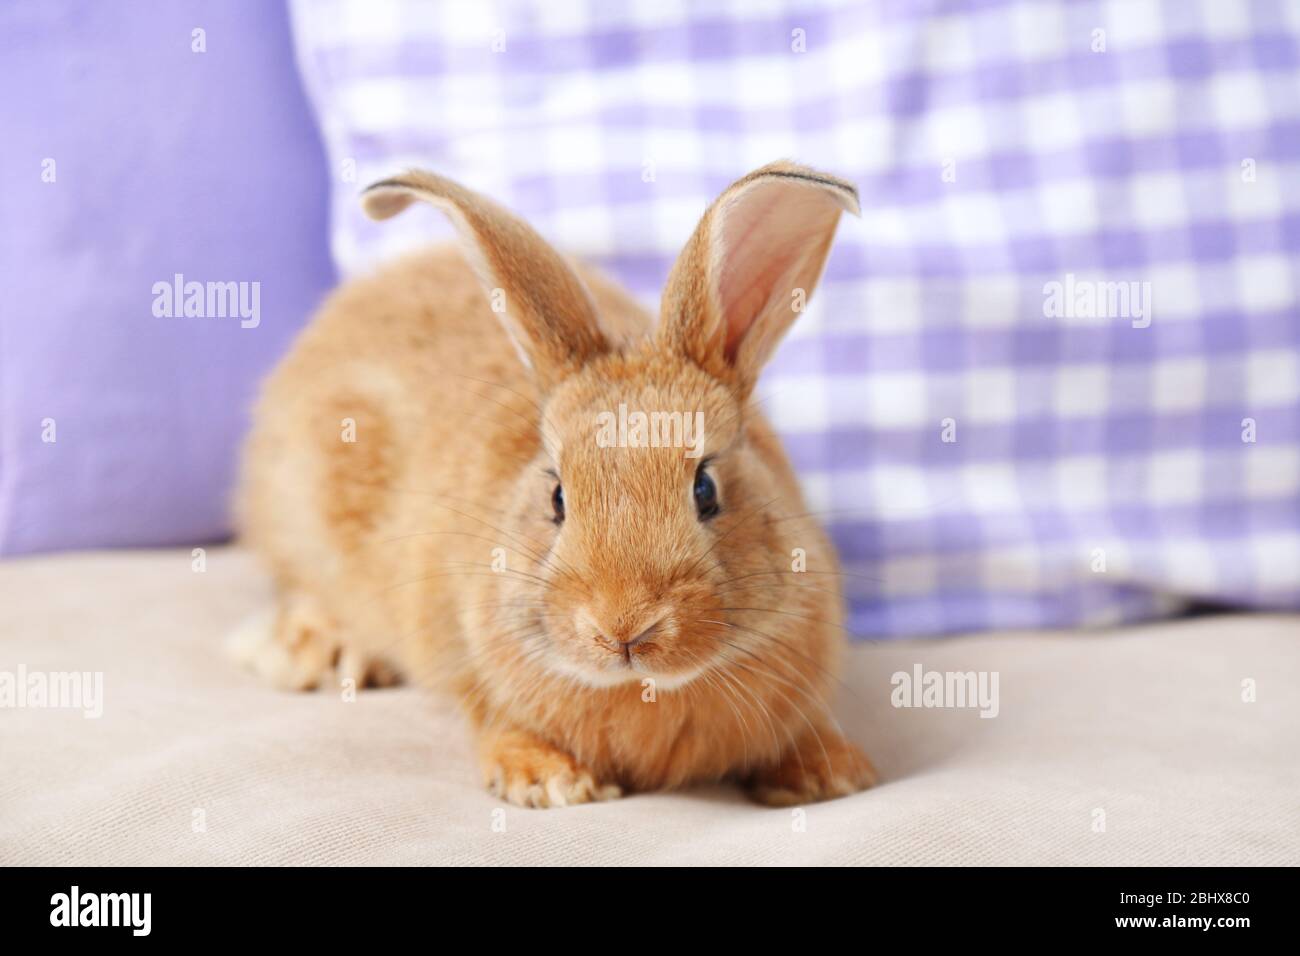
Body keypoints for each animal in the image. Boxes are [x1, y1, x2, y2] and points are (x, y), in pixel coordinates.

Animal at [233, 161, 877, 808]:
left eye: (706, 489)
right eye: (557, 496)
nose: (623, 628)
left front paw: (828, 774)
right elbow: (497, 720)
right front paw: (550, 781)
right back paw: (318, 654)